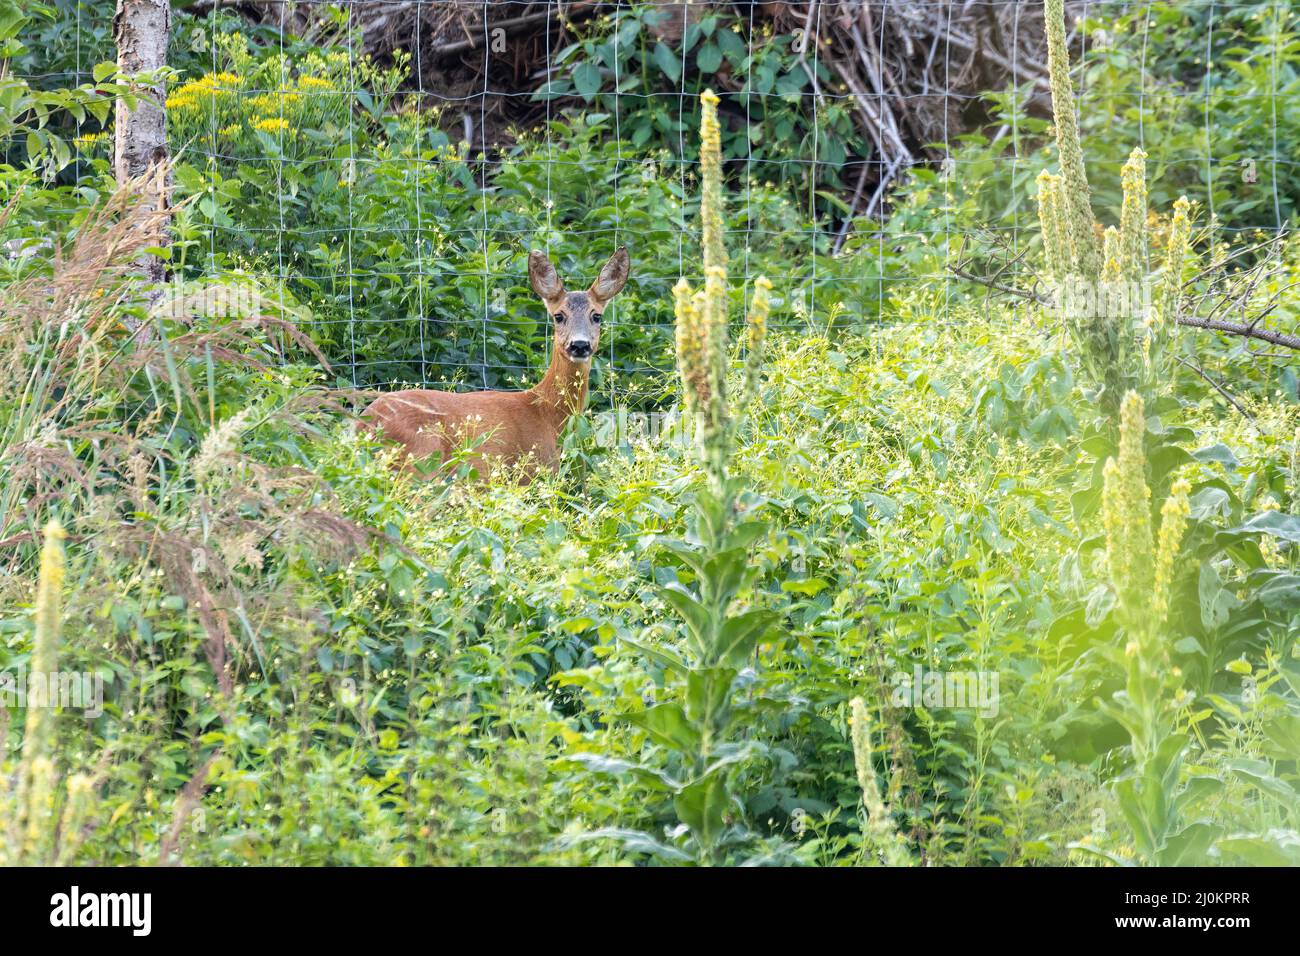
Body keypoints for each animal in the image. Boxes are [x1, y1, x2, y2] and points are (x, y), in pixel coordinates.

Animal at [362, 247, 629, 481]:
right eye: (559, 316)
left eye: (597, 316)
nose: (580, 345)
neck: (546, 414)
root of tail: (367, 424)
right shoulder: (531, 473)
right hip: (422, 461)